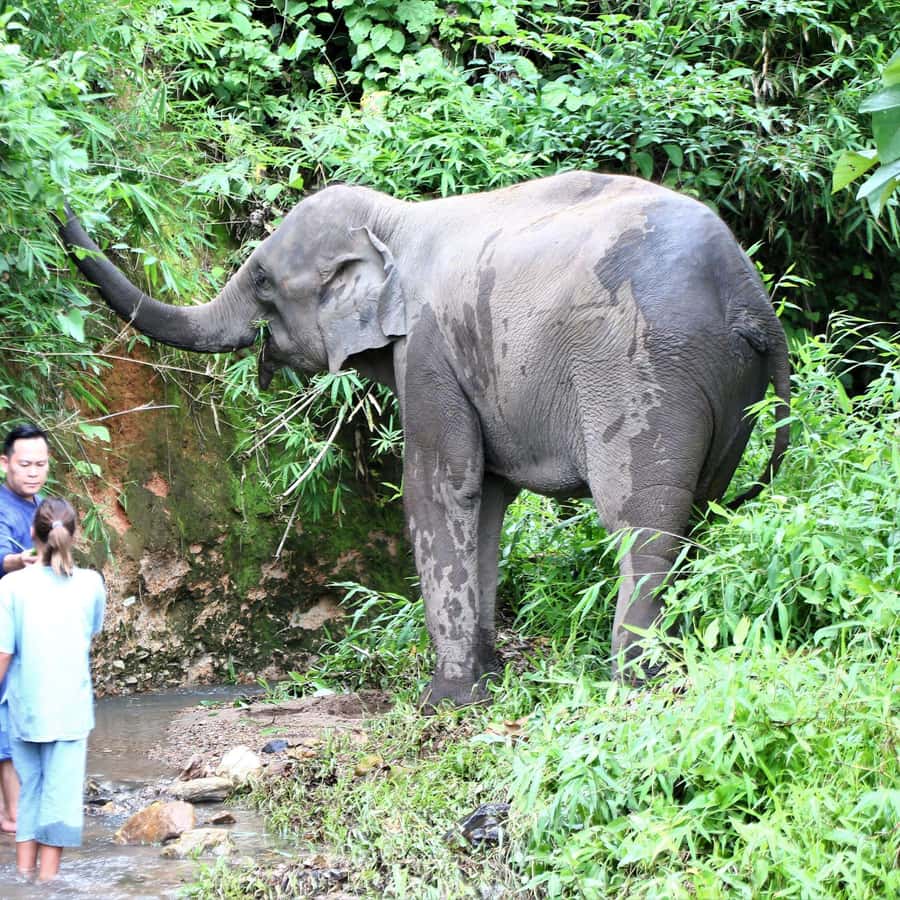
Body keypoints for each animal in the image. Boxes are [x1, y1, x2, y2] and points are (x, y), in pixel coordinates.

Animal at [59, 170, 790, 708]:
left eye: (263, 281)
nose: (61, 214)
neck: (395, 225)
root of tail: (749, 295)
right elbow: (487, 498)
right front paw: (488, 679)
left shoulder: (431, 347)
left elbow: (439, 487)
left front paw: (447, 700)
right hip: (731, 389)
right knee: (698, 512)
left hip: (648, 371)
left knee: (642, 520)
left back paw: (632, 684)